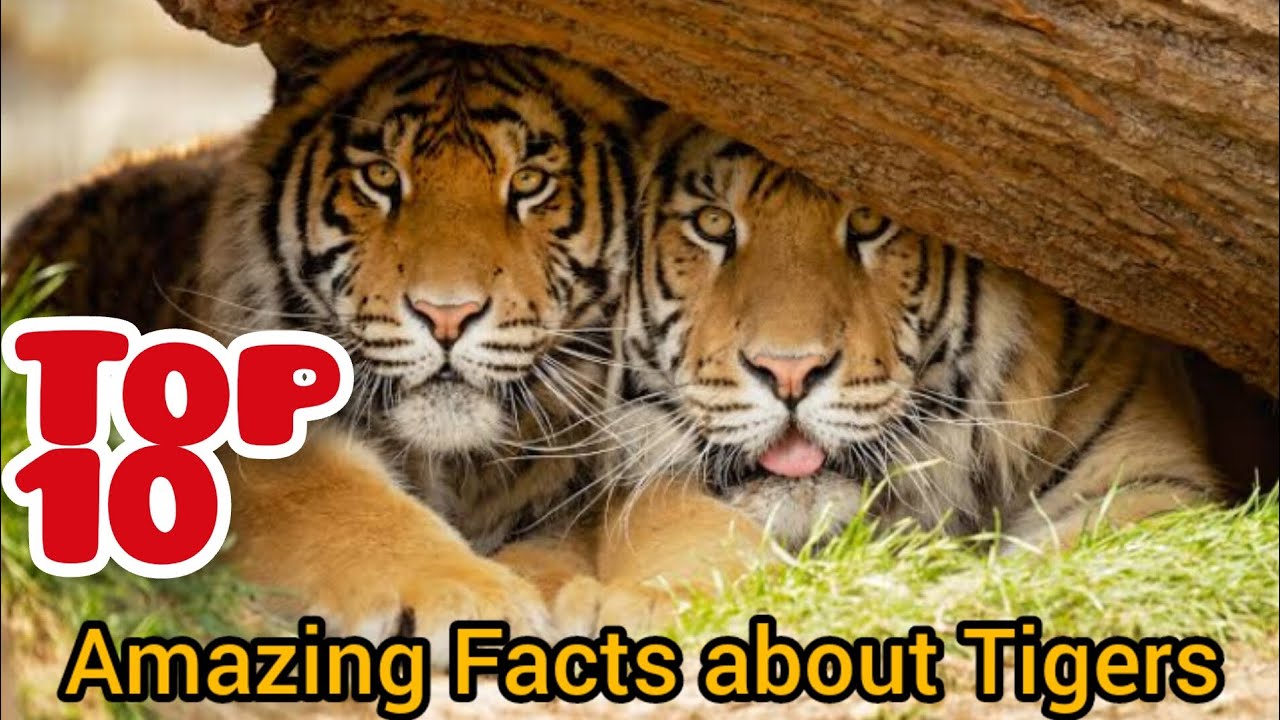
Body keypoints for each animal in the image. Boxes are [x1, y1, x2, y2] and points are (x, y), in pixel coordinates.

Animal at [557, 124, 1225, 631]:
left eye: (869, 221)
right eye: (715, 224)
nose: (789, 370)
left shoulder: (1150, 484)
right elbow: (675, 519)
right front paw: (654, 604)